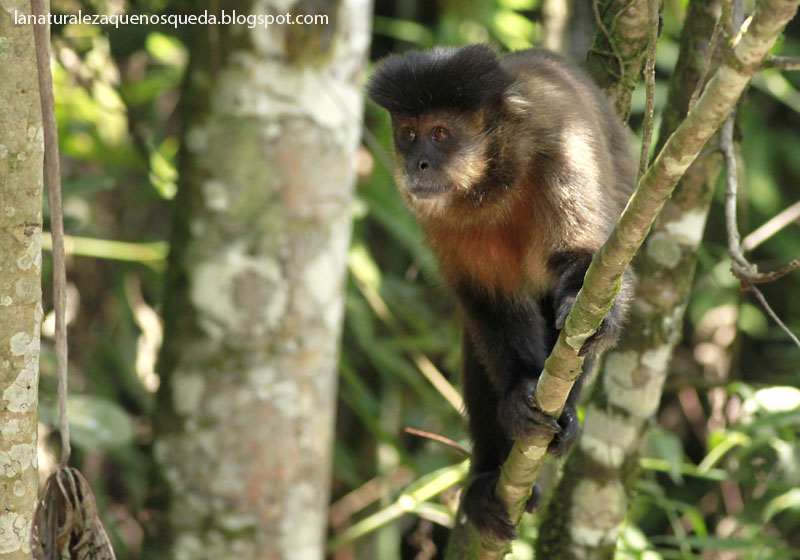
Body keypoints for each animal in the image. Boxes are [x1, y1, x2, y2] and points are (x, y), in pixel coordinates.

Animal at [367, 44, 636, 541]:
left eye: (440, 133)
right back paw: (489, 479)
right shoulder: (436, 213)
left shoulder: (565, 150)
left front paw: (586, 318)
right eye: (409, 134)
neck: (494, 177)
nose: (417, 164)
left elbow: (590, 264)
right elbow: (484, 297)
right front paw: (516, 394)